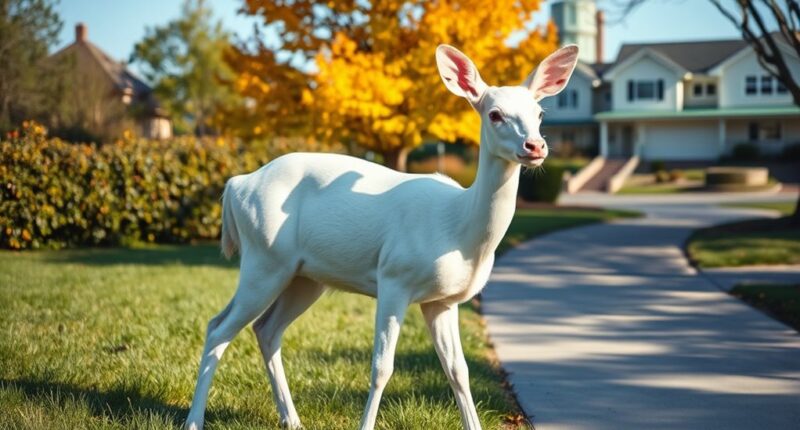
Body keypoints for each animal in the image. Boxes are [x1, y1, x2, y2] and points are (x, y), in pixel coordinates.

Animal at [184, 44, 579, 430]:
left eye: (540, 113)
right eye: (495, 114)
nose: (535, 146)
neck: (459, 229)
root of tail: (236, 185)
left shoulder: (442, 300)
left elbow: (458, 370)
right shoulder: (393, 278)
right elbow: (381, 368)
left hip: (304, 276)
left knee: (265, 330)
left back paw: (291, 419)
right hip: (264, 258)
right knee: (218, 328)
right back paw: (194, 421)